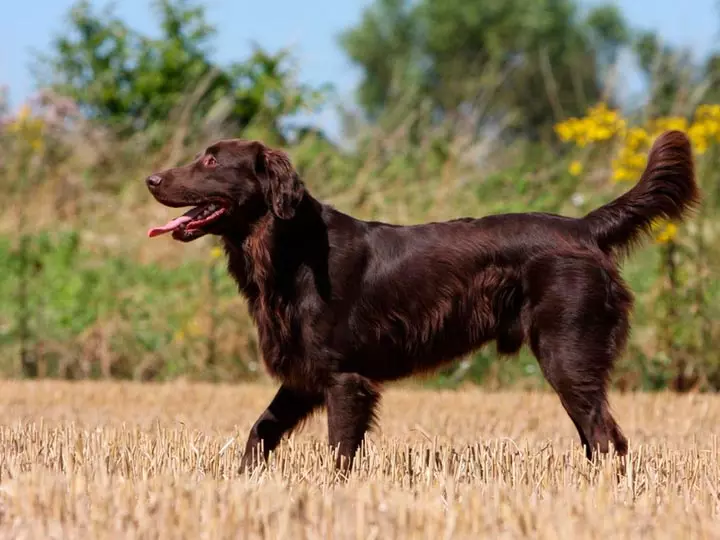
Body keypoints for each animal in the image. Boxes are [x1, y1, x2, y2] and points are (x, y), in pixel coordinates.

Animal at [143, 130, 700, 472]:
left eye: (212, 160)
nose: (151, 178)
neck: (289, 250)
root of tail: (584, 228)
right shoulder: (305, 376)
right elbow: (260, 431)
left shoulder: (345, 379)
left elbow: (338, 453)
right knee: (597, 439)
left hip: (569, 354)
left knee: (607, 438)